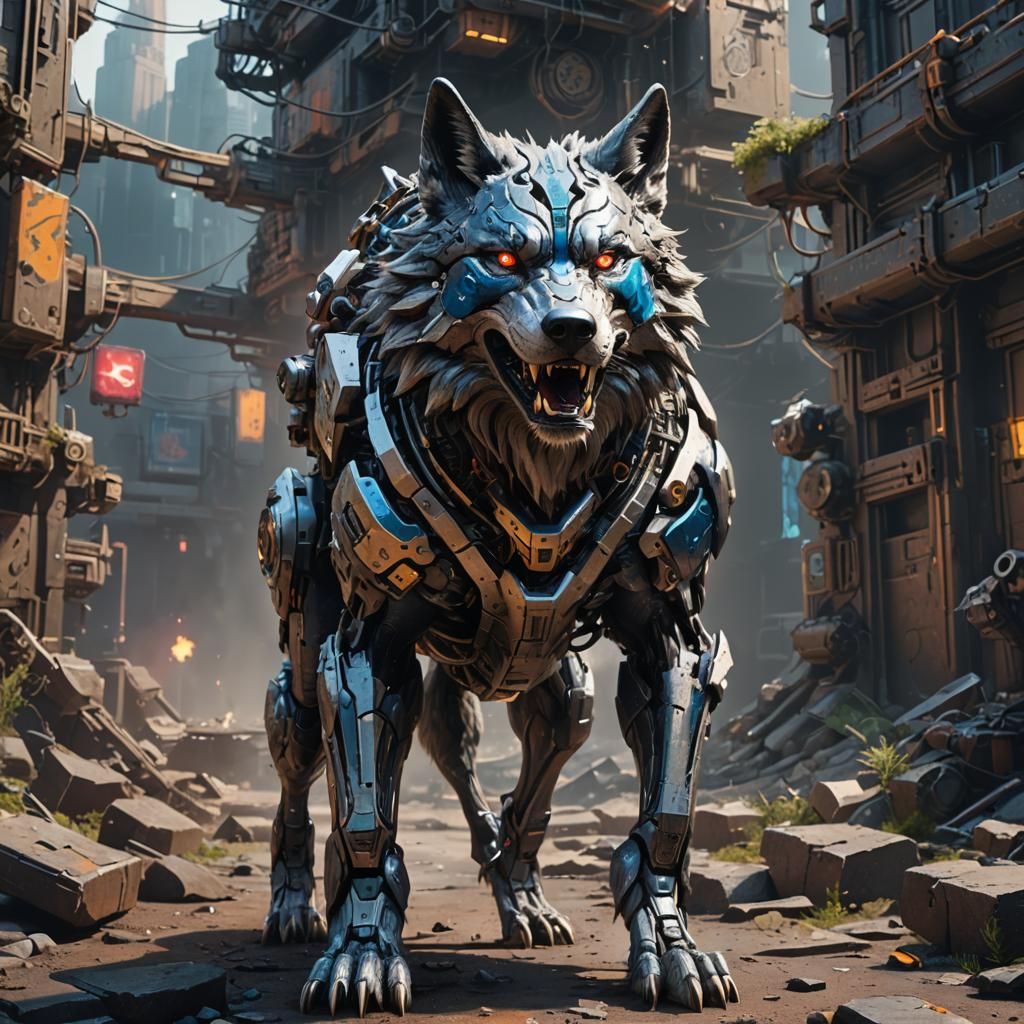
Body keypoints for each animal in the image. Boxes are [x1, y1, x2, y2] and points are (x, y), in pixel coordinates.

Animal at [257, 78, 737, 1017]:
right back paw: (296, 898)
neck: (534, 466)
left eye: (608, 260)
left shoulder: (667, 633)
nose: (571, 330)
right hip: (305, 585)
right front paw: (360, 949)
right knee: (301, 729)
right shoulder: (371, 642)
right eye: (505, 260)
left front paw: (669, 943)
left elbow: (666, 808)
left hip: (539, 659)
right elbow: (365, 811)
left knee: (547, 723)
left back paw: (517, 881)